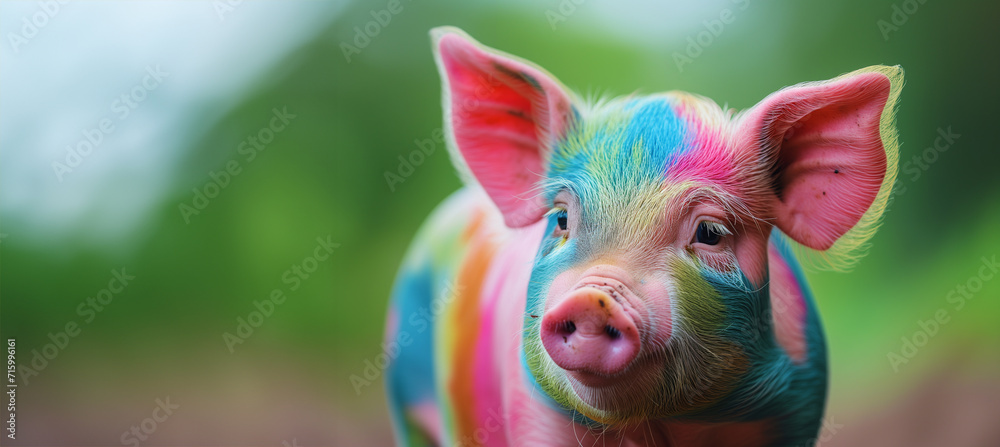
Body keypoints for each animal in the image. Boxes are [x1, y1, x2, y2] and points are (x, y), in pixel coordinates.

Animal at [385, 26, 903, 447]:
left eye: (710, 232)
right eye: (561, 219)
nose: (594, 297)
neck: (653, 424)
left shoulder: (796, 406)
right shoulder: (535, 408)